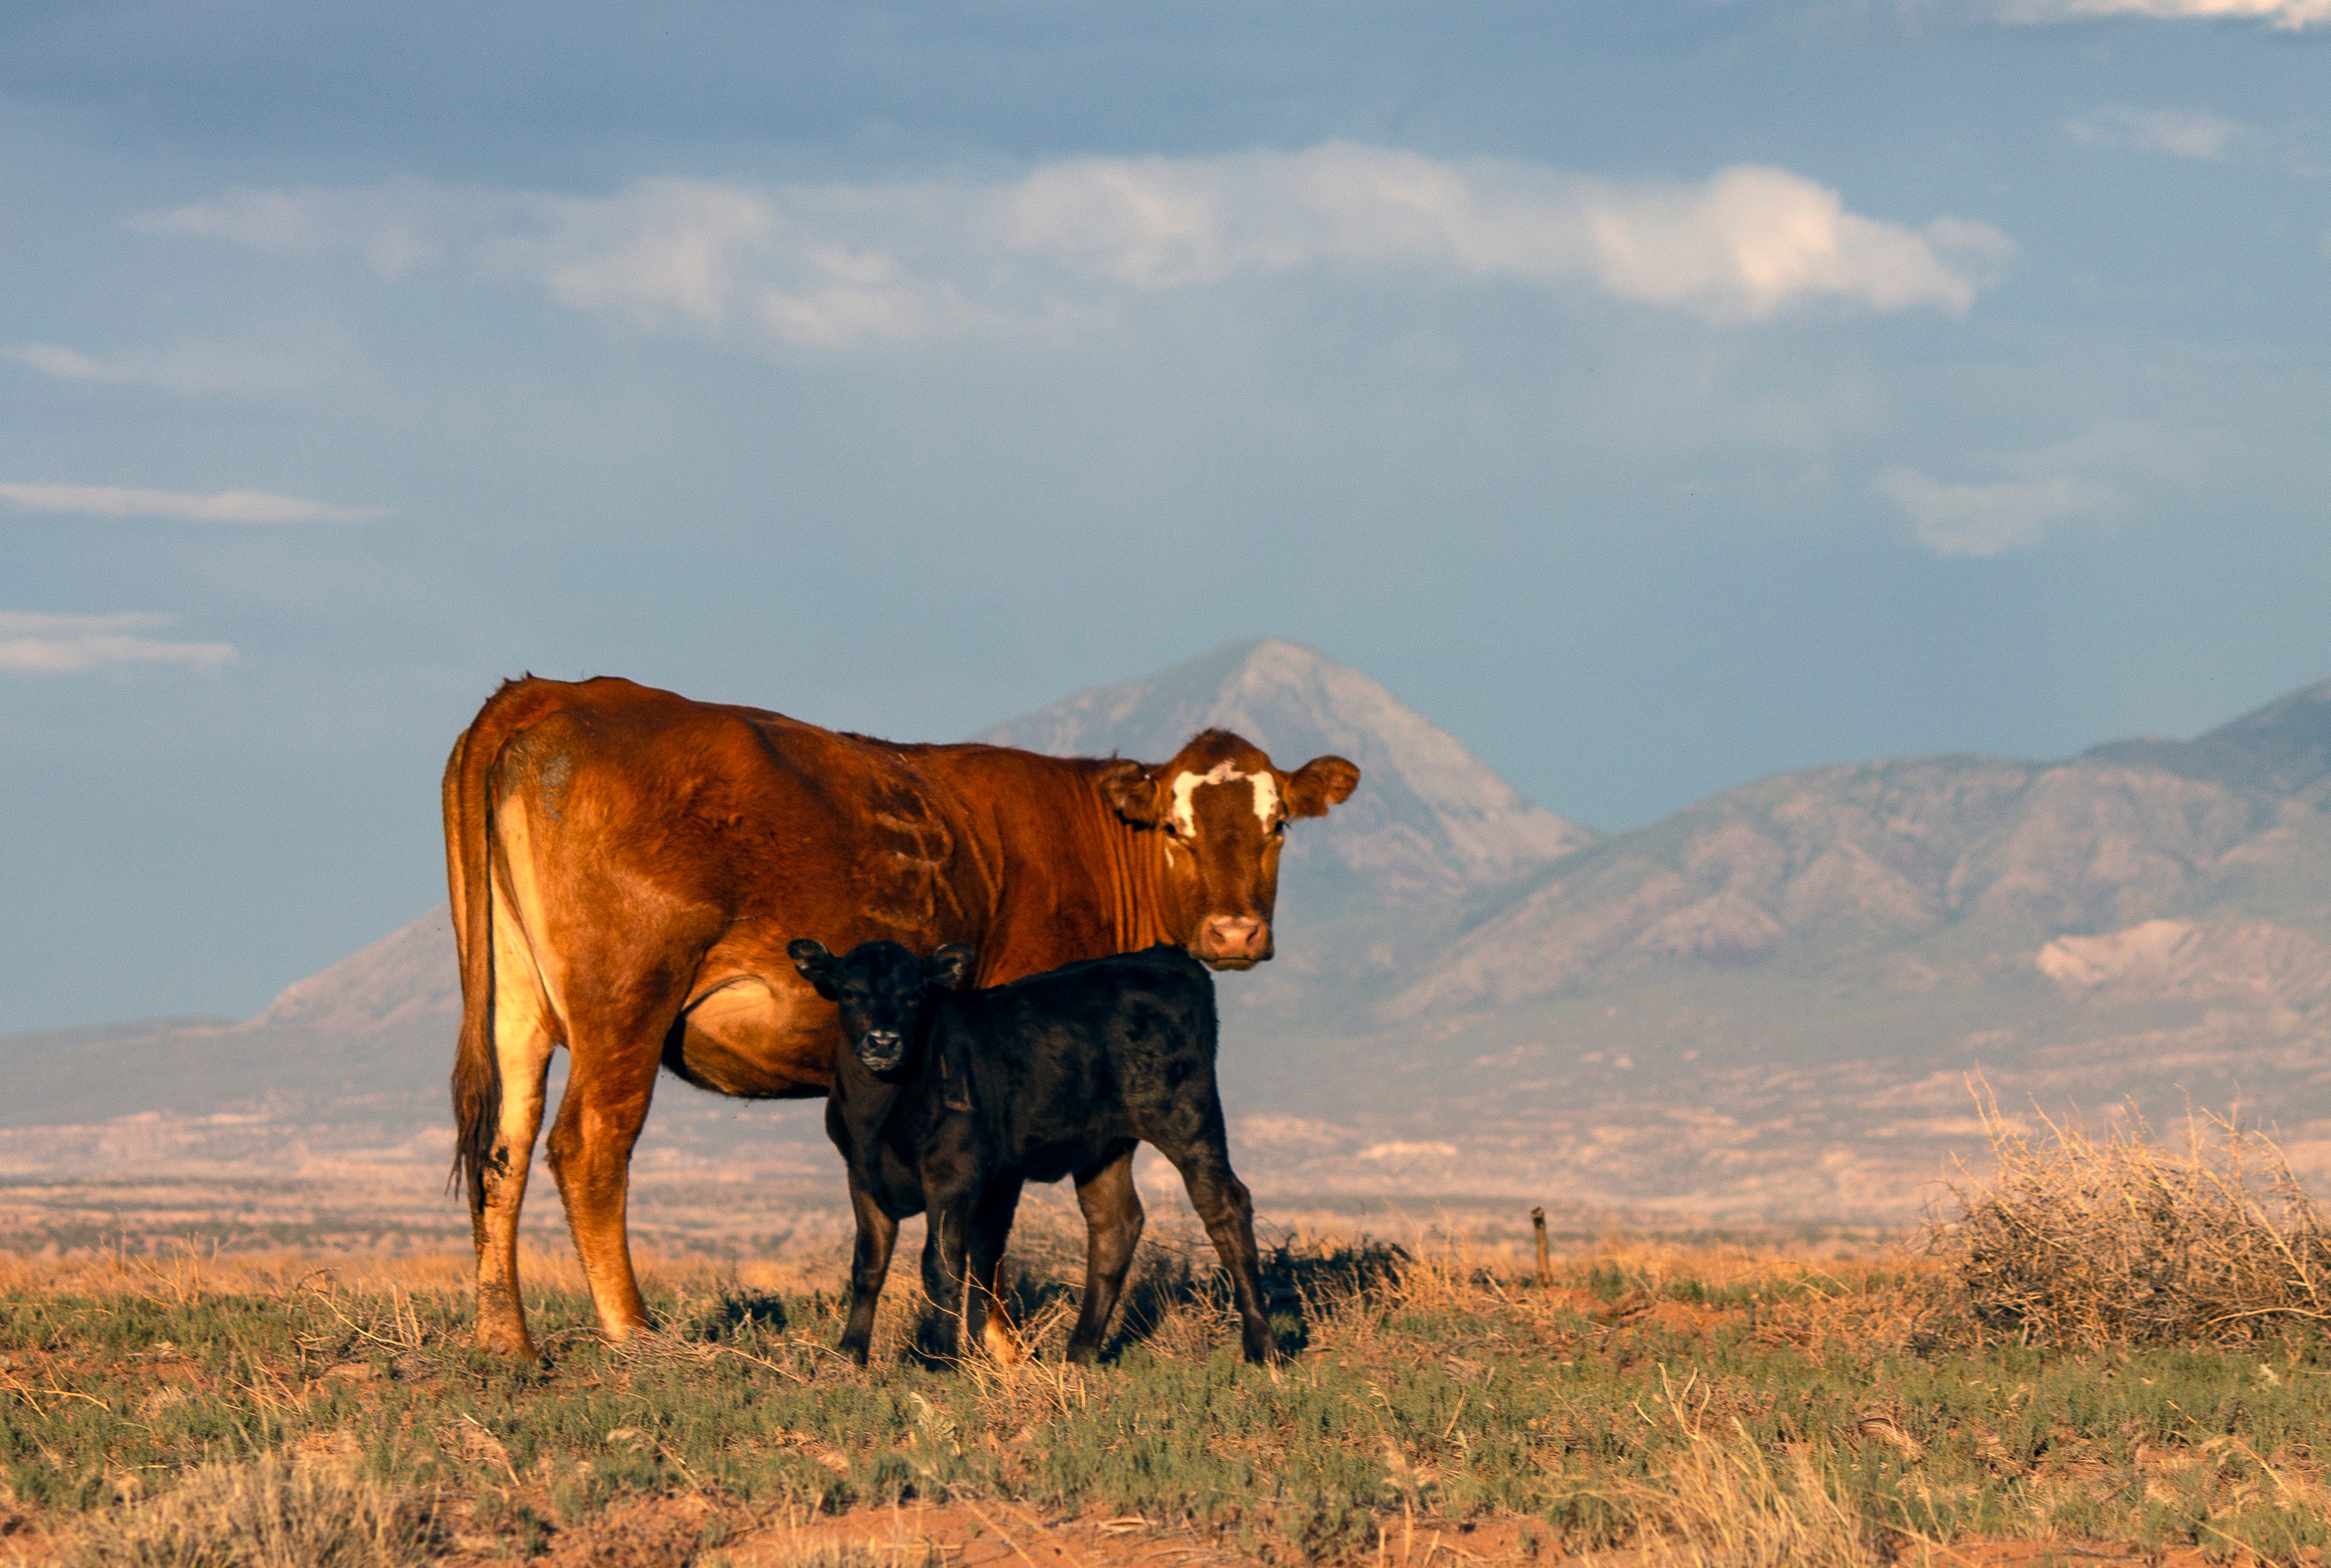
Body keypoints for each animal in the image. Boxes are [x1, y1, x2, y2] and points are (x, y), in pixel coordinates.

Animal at [786, 937, 1275, 1367]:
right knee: (1115, 1221)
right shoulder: (861, 1172)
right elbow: (868, 1266)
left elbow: (942, 1263)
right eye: (849, 992)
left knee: (1225, 1204)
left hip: (1186, 1115)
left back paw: (1261, 1346)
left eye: (914, 995)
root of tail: (1166, 955)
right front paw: (850, 1354)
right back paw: (1079, 1354)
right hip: (1103, 1143)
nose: (883, 1040)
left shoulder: (953, 1170)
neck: (878, 1116)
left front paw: (940, 1359)